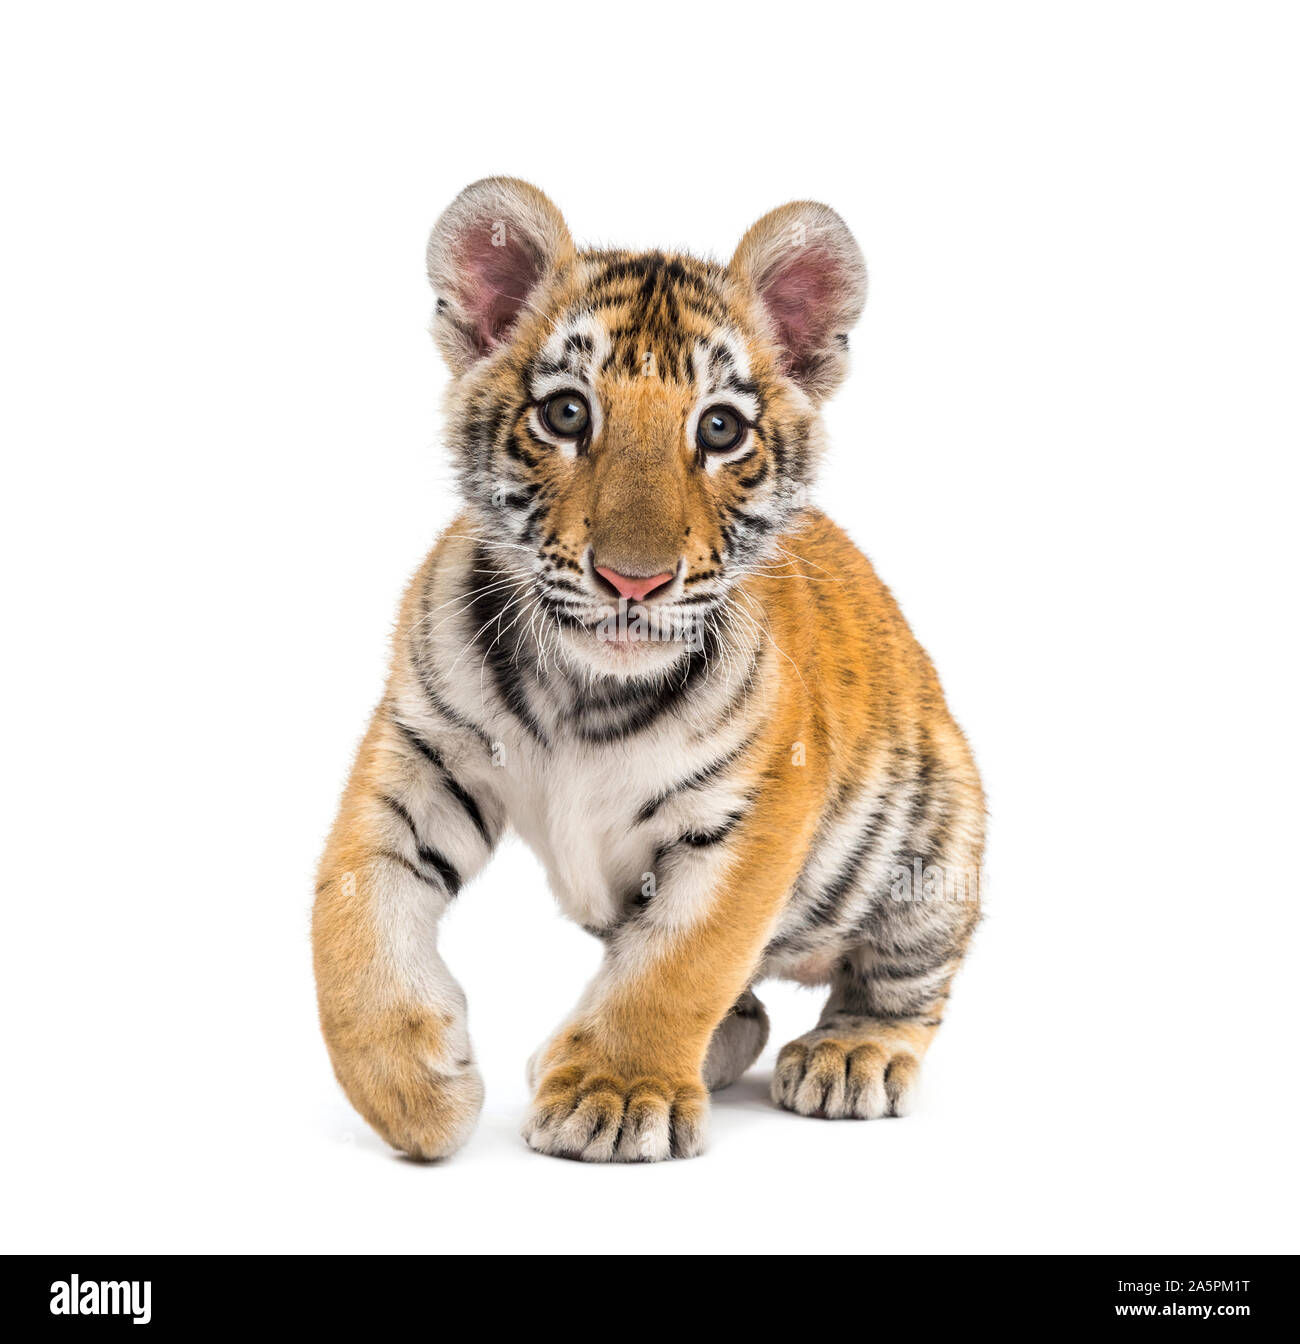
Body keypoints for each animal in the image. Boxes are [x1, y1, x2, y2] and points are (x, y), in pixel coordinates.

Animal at [312, 177, 985, 1162]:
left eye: (720, 429)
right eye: (565, 414)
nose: (634, 579)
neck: (581, 689)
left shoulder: (757, 810)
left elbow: (680, 962)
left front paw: (618, 1095)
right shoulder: (420, 752)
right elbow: (351, 907)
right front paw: (411, 1089)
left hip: (933, 852)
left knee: (898, 986)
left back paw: (849, 1056)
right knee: (742, 1010)